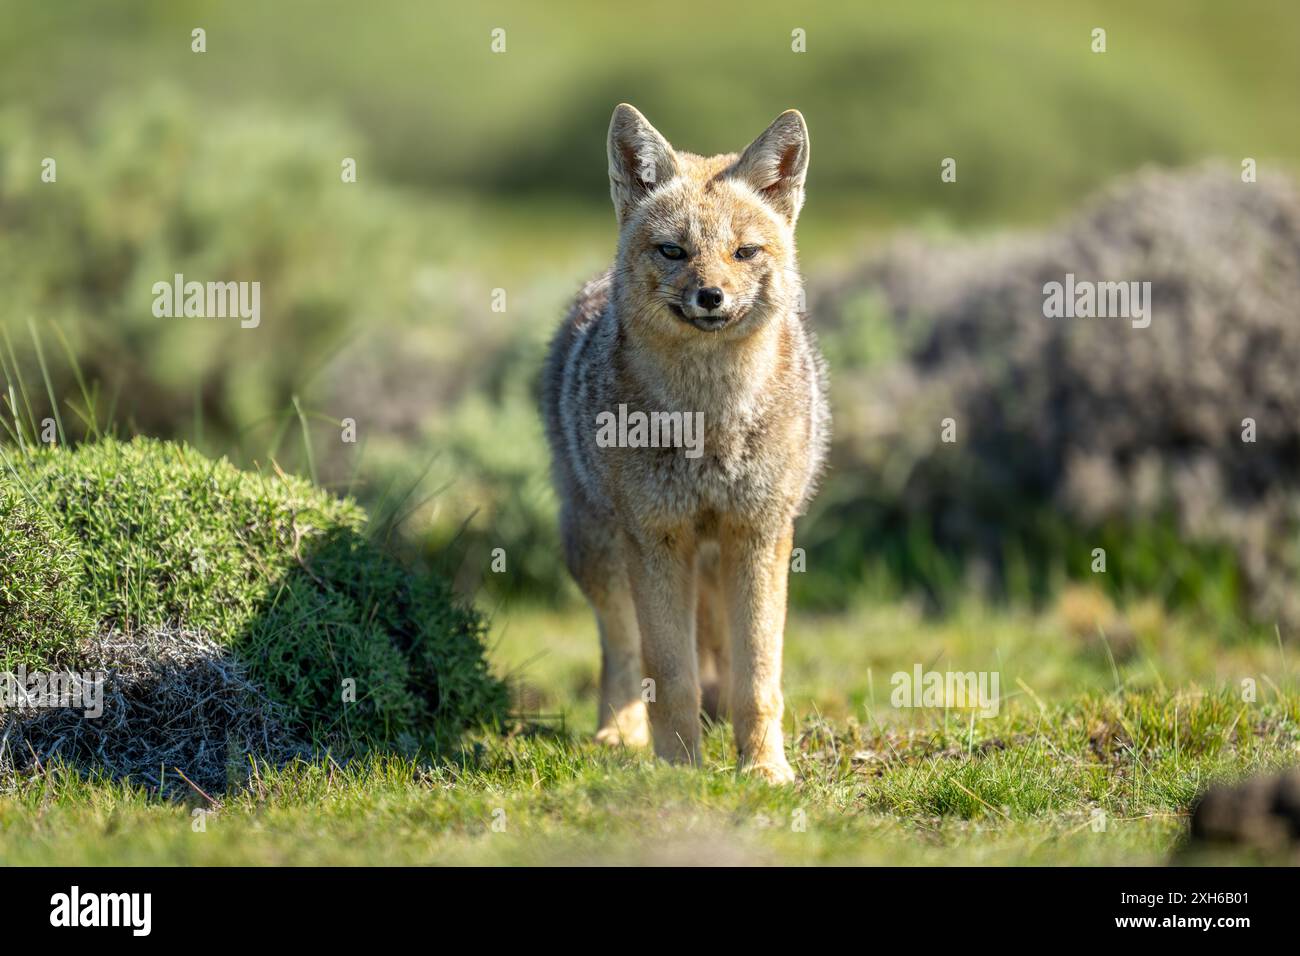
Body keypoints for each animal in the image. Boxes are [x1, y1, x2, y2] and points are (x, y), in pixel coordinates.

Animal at [541, 104, 830, 783]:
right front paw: (678, 770)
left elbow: (759, 678)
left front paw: (765, 770)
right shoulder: (657, 538)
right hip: (599, 551)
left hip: (715, 557)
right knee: (620, 649)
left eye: (744, 252)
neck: (710, 422)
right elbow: (668, 676)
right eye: (674, 251)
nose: (711, 295)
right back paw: (620, 733)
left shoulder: (759, 534)